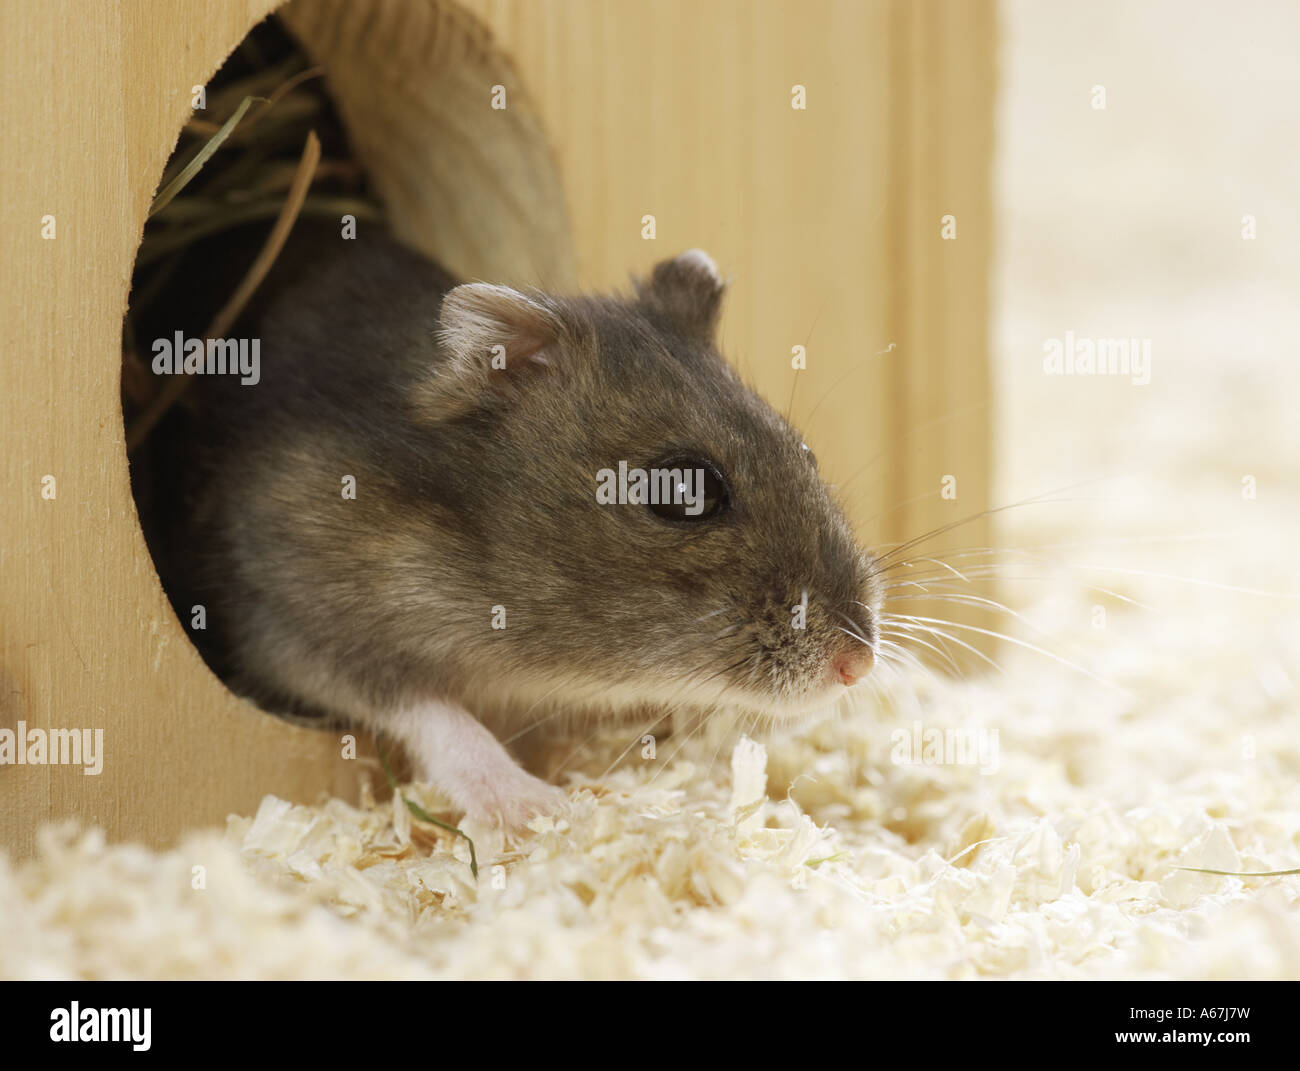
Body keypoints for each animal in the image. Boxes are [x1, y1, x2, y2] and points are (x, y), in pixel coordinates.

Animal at [163, 225, 881, 828]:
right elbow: (429, 709)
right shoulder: (288, 612)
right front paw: (544, 810)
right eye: (686, 492)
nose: (859, 665)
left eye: (805, 451)